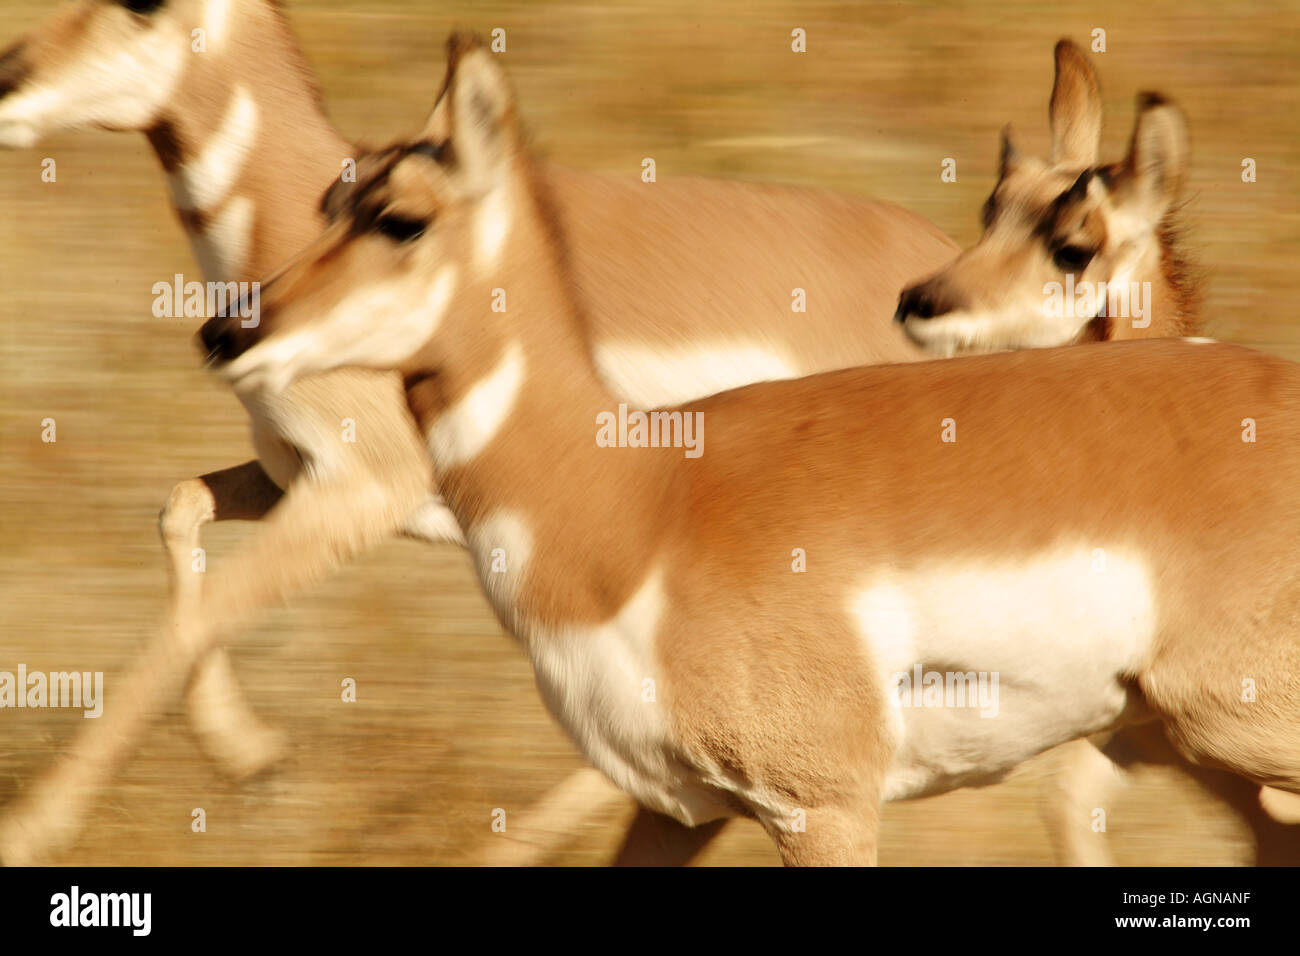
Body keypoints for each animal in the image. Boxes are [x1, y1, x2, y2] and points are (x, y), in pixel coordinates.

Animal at [200, 36, 1300, 866]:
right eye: (330, 201)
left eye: (401, 217)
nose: (227, 330)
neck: (639, 501)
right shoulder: (673, 808)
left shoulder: (822, 807)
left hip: (1229, 731)